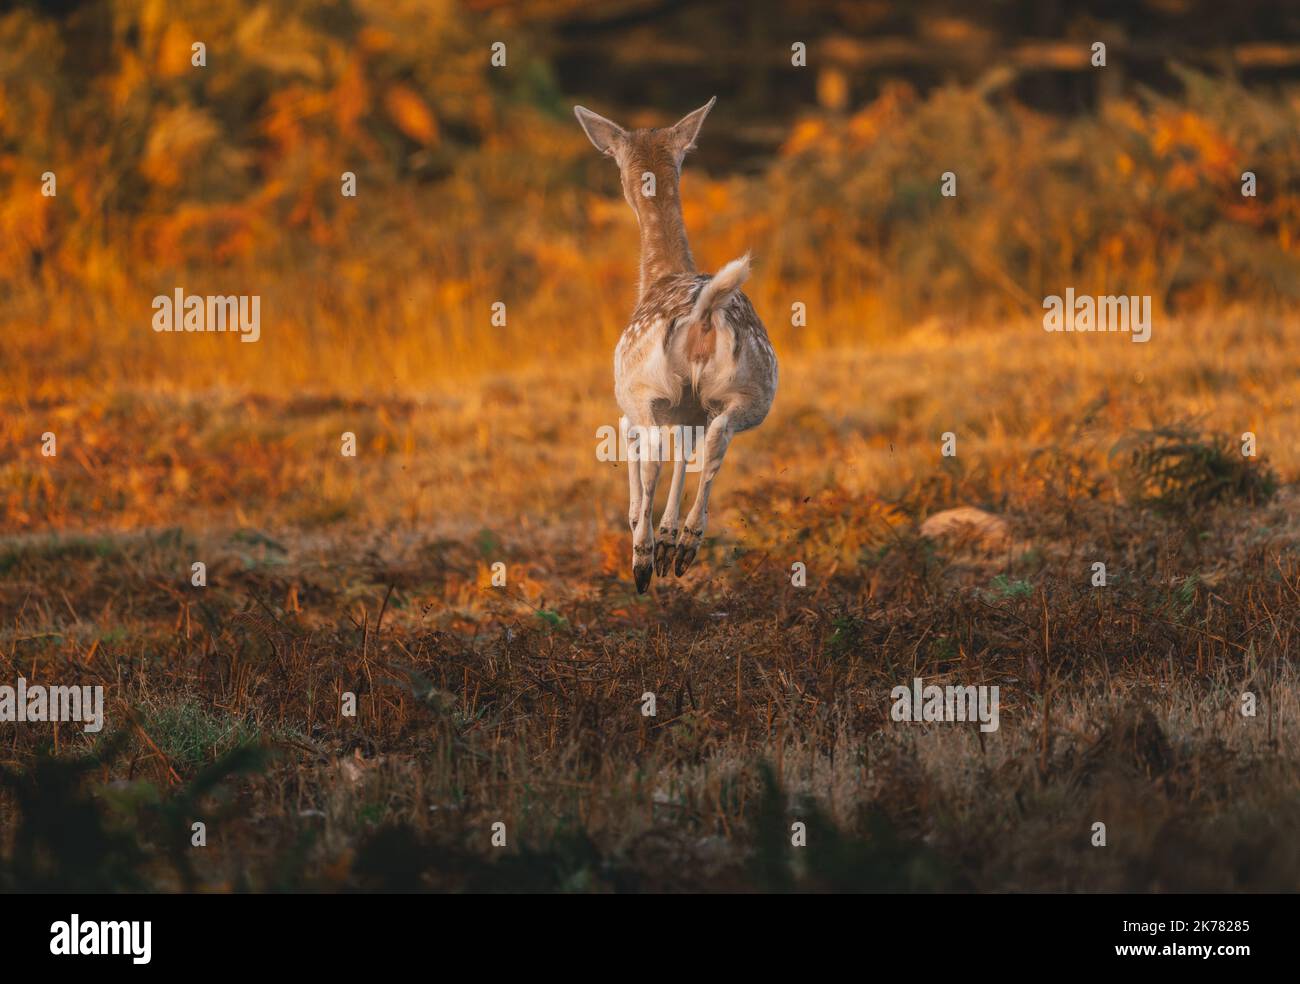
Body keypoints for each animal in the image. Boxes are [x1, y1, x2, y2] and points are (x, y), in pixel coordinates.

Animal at [574, 97, 778, 594]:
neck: (657, 276)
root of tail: (704, 316)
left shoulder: (637, 403)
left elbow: (638, 453)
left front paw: (642, 528)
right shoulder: (688, 410)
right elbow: (686, 455)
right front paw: (667, 534)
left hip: (643, 386)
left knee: (651, 455)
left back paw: (643, 559)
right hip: (754, 390)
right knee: (718, 442)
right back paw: (683, 545)